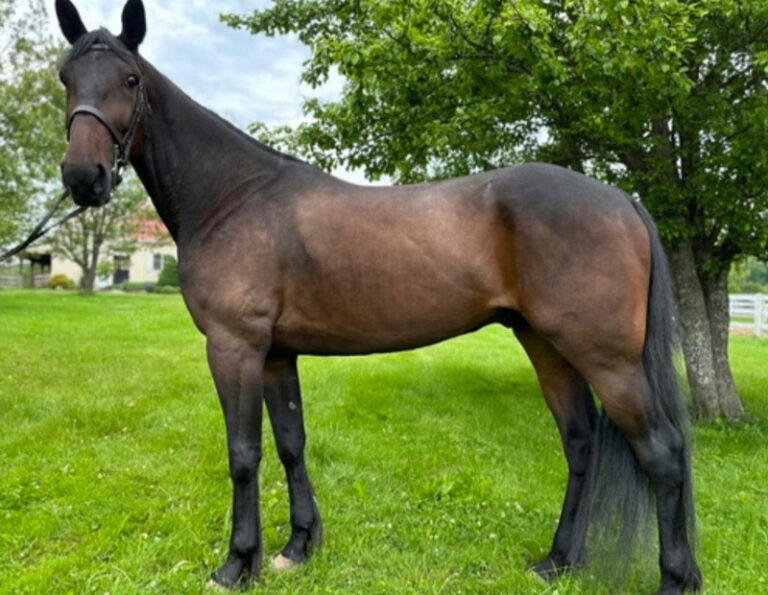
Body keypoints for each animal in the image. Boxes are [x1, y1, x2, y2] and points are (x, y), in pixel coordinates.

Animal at [54, 1, 701, 592]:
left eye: (130, 80)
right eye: (66, 77)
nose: (83, 178)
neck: (233, 196)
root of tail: (622, 199)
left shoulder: (234, 348)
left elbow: (243, 454)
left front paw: (237, 565)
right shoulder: (276, 354)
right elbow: (291, 444)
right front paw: (298, 547)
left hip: (608, 359)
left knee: (663, 454)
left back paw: (675, 577)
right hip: (547, 345)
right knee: (581, 444)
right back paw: (558, 561)